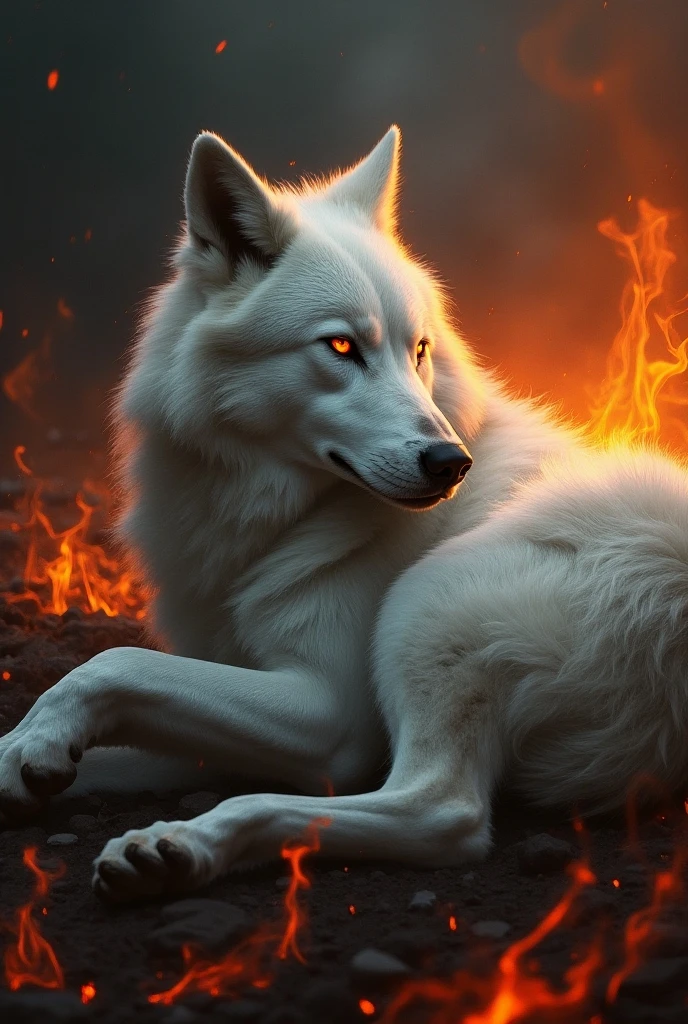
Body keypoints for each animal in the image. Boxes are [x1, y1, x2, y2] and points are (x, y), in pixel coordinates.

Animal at [0, 127, 686, 901]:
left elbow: (118, 662)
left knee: (440, 814)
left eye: (418, 349)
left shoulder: (329, 714)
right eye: (340, 346)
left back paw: (183, 844)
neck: (278, 522)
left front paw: (37, 738)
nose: (450, 462)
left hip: (425, 605)